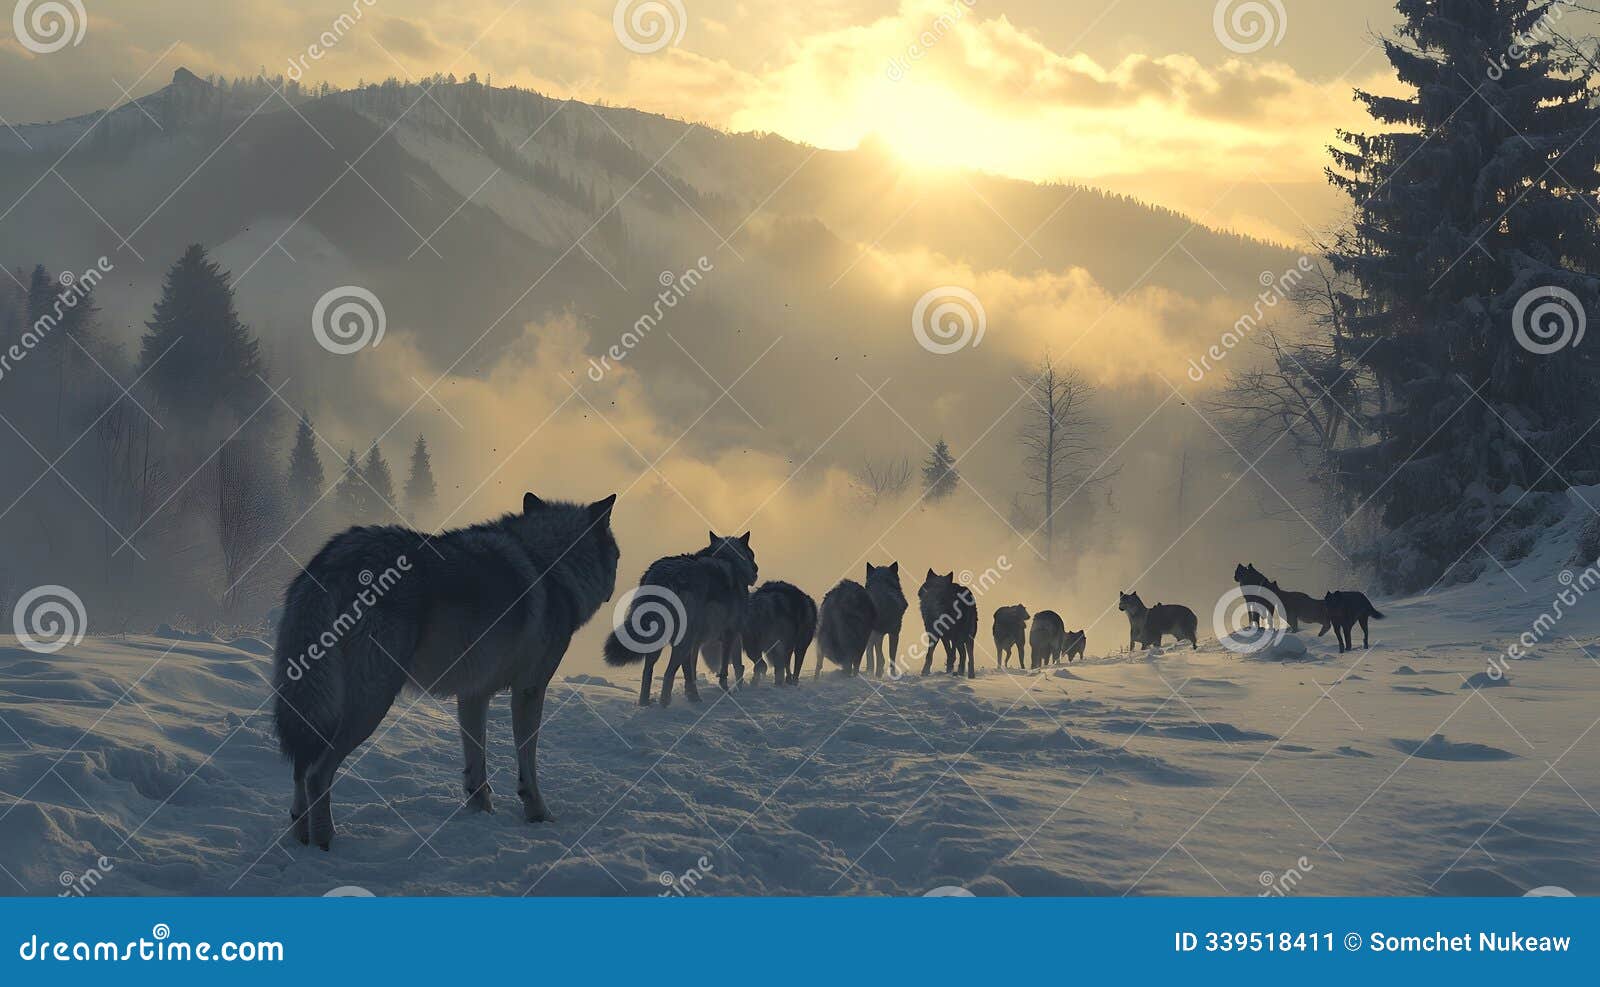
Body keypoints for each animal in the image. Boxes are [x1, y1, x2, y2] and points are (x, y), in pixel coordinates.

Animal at [272, 491, 620, 850]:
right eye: (618, 554)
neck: (548, 563)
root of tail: (333, 561)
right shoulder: (529, 690)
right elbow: (528, 765)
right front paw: (538, 813)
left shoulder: (473, 694)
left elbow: (476, 765)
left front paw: (481, 813)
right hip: (371, 702)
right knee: (316, 774)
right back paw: (326, 841)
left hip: (318, 703)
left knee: (300, 765)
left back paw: (300, 837)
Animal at [603, 532, 758, 706]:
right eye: (753, 554)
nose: (757, 569)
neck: (728, 559)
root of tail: (664, 575)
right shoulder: (729, 634)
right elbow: (727, 669)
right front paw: (726, 692)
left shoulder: (696, 642)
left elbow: (690, 671)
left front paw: (693, 697)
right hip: (681, 641)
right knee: (668, 673)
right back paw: (664, 704)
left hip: (659, 641)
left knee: (647, 671)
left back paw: (645, 703)